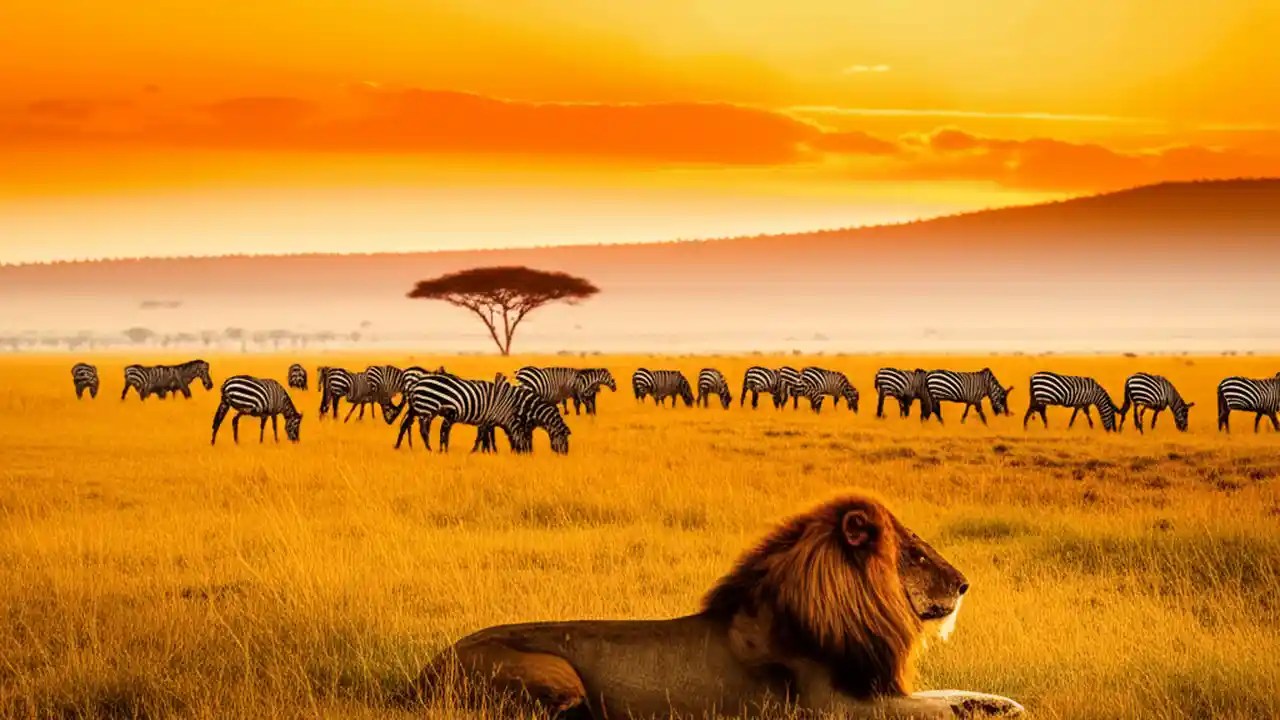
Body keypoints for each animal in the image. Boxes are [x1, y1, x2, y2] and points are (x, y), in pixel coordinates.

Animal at [418, 494, 1024, 719]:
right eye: (916, 556)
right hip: (557, 677)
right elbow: (936, 709)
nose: (965, 584)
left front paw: (1003, 702)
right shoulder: (832, 707)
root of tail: (422, 674)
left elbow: (946, 693)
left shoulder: (870, 688)